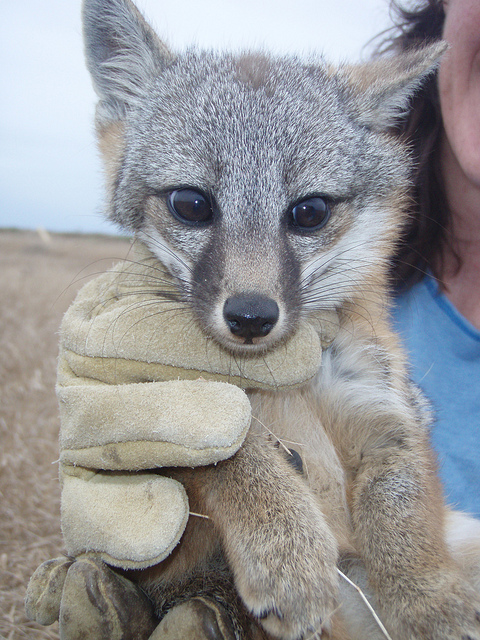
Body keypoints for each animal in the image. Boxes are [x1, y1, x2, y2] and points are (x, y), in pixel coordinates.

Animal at [76, 0, 480, 638]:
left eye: (308, 212)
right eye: (191, 204)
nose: (250, 316)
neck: (285, 384)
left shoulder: (384, 408)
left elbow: (404, 508)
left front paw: (428, 599)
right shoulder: (178, 403)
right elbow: (237, 456)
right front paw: (287, 554)